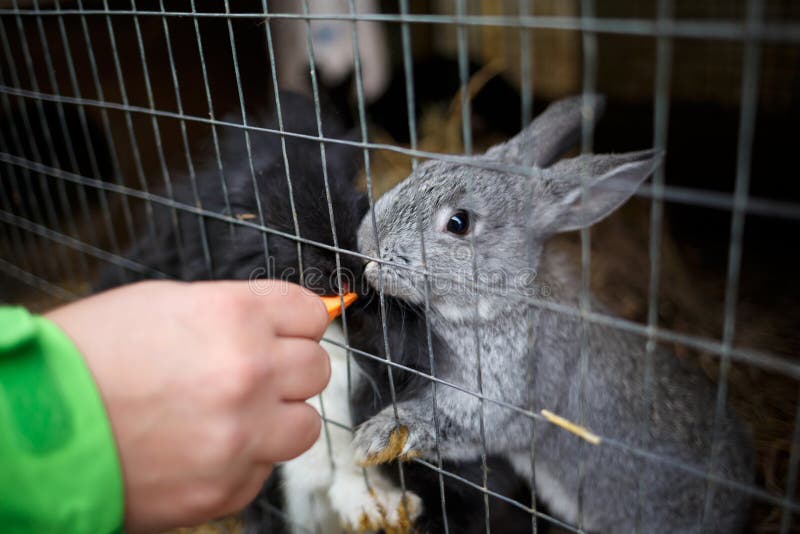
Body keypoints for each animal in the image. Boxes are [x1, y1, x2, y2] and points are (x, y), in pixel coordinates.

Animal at [352, 94, 755, 533]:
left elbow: (449, 419)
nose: (367, 243)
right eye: (423, 167)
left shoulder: (505, 397)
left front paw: (374, 438)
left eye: (459, 222)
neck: (504, 301)